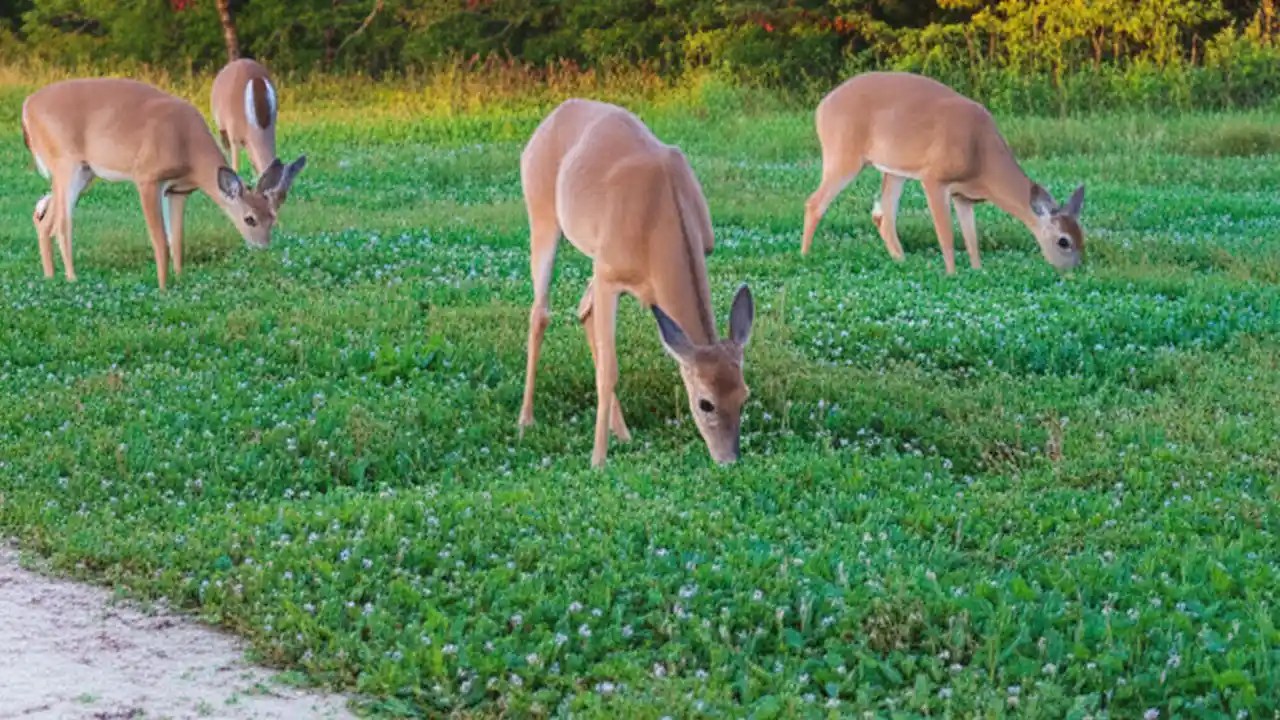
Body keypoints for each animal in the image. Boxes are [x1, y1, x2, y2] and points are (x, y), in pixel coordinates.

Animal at [22, 77, 306, 290]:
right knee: (62, 222)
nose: (262, 247)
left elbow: (177, 238)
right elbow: (159, 239)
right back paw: (72, 278)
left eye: (272, 217)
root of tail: (26, 108)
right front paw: (163, 286)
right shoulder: (147, 177)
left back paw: (50, 276)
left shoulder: (178, 190)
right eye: (249, 219)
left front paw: (179, 277)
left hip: (85, 172)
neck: (188, 149)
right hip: (65, 163)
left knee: (45, 219)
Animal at [518, 99, 756, 469]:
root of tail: (550, 118)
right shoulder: (608, 273)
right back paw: (525, 420)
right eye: (705, 403)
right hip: (542, 212)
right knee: (540, 312)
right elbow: (609, 370)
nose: (729, 459)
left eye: (744, 395)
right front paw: (597, 460)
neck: (657, 222)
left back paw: (623, 432)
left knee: (582, 310)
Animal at [801, 71, 1086, 274]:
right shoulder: (934, 178)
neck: (982, 160)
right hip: (843, 154)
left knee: (884, 215)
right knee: (815, 202)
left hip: (894, 170)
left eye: (1081, 235)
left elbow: (971, 238)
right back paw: (804, 256)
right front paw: (952, 274)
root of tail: (821, 107)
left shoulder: (964, 196)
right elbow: (946, 235)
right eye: (1064, 241)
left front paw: (978, 271)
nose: (1077, 270)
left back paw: (902, 261)